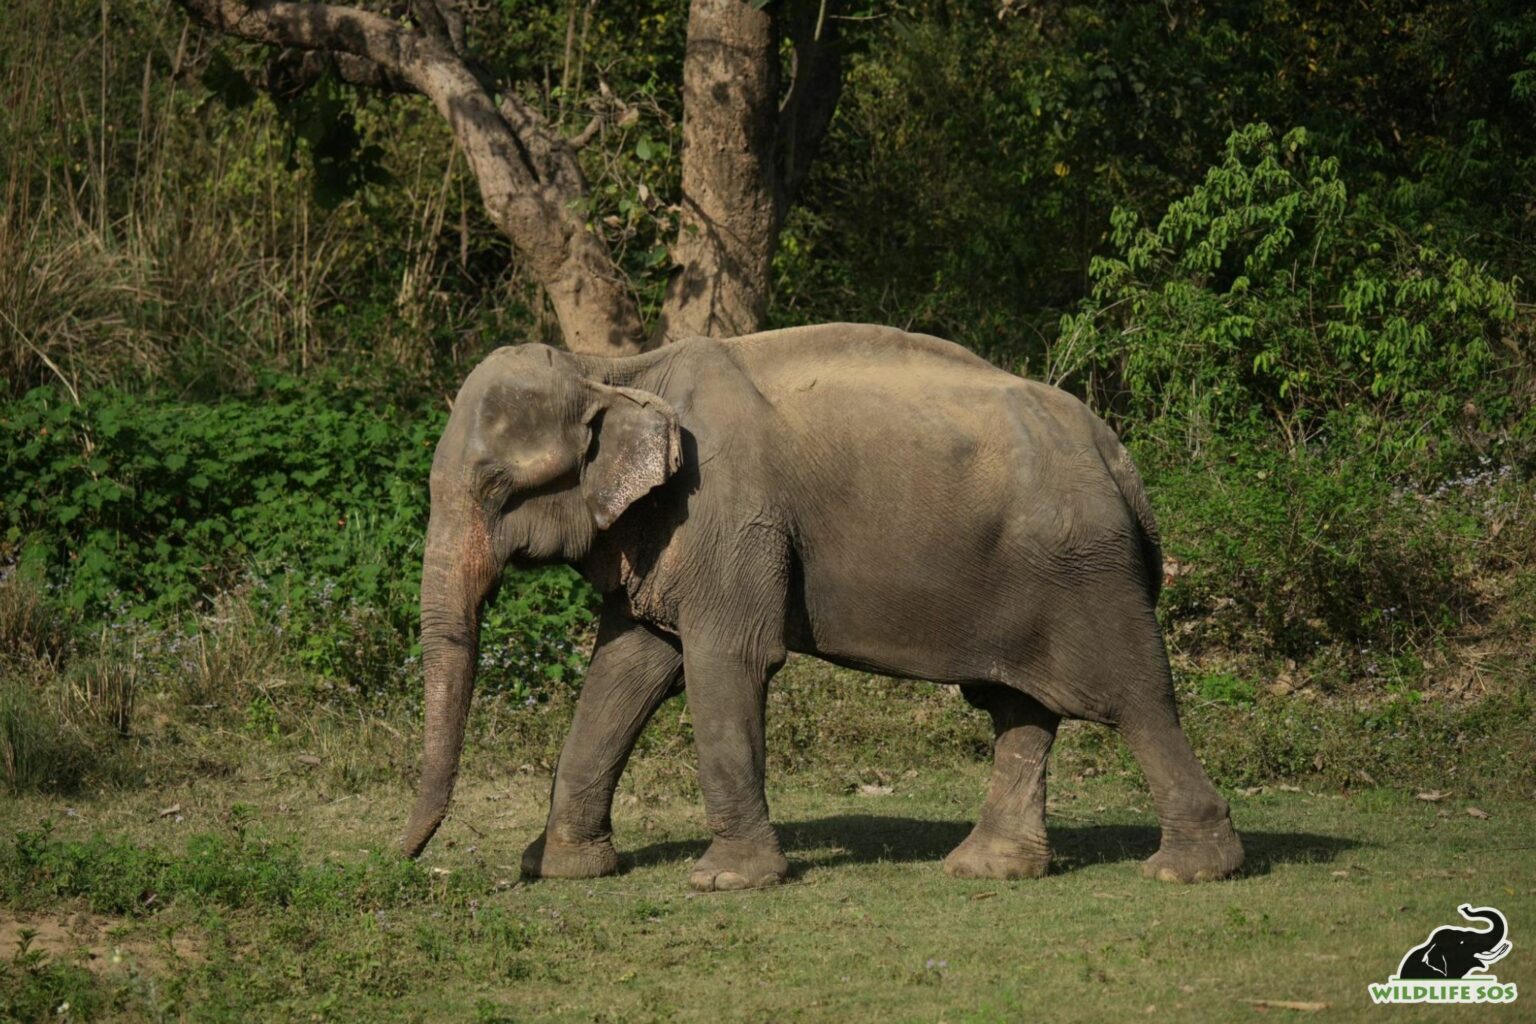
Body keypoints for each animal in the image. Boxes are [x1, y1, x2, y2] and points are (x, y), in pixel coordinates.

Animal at [398, 323, 1244, 890]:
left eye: (496, 488)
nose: (400, 860)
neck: (615, 368)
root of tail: (1119, 457)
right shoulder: (669, 532)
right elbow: (628, 669)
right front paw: (563, 869)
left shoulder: (728, 512)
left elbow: (725, 660)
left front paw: (726, 882)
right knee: (1019, 709)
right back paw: (988, 868)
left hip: (1088, 570)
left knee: (1136, 700)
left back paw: (1190, 870)